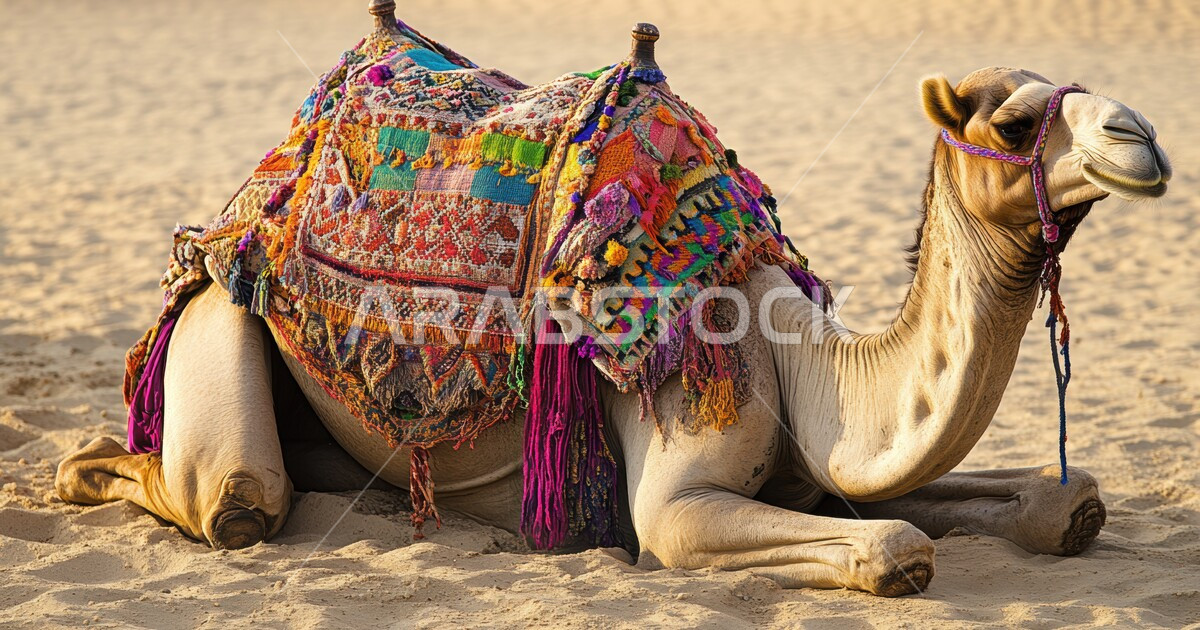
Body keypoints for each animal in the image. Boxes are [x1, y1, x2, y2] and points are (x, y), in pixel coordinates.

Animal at [54, 9, 1171, 597]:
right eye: (1016, 121)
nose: (1144, 137)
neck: (797, 357)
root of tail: (228, 219)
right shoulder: (678, 503)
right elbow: (895, 549)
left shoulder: (822, 475)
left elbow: (1065, 500)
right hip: (218, 320)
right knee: (234, 495)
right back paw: (82, 465)